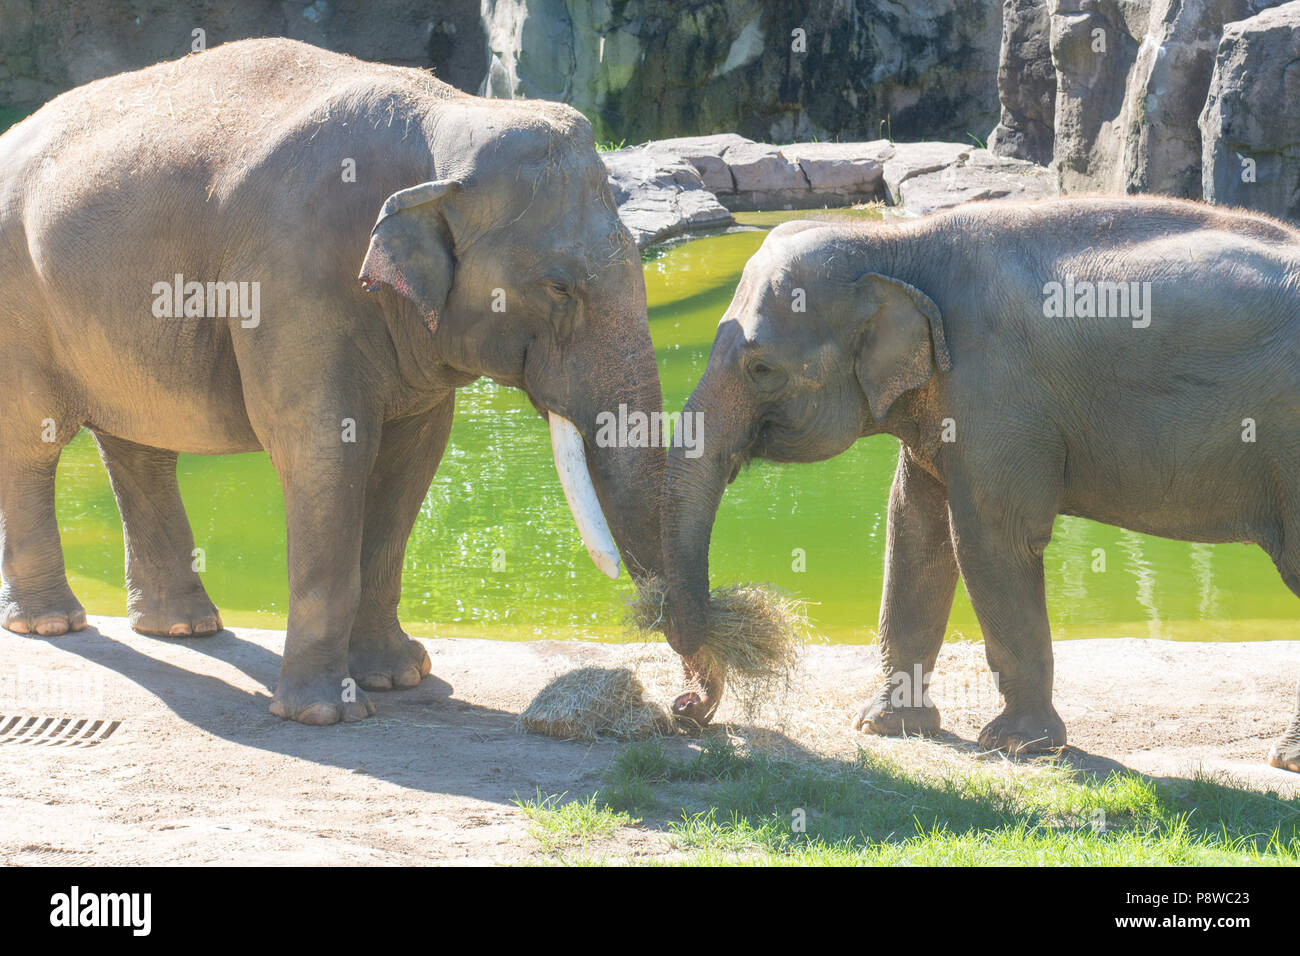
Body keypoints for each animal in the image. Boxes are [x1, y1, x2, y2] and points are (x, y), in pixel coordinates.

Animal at [0, 39, 665, 724]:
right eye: (559, 287)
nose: (649, 617)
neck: (447, 123)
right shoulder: (291, 274)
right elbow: (323, 450)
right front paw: (324, 714)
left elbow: (413, 455)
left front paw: (398, 677)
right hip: (19, 297)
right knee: (31, 440)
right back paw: (53, 624)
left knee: (141, 447)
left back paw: (185, 627)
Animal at [659, 196, 1300, 772]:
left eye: (762, 368)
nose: (685, 708)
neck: (899, 243)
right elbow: (913, 530)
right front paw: (882, 725)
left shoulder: (996, 391)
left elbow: (990, 538)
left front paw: (1017, 745)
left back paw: (1285, 759)